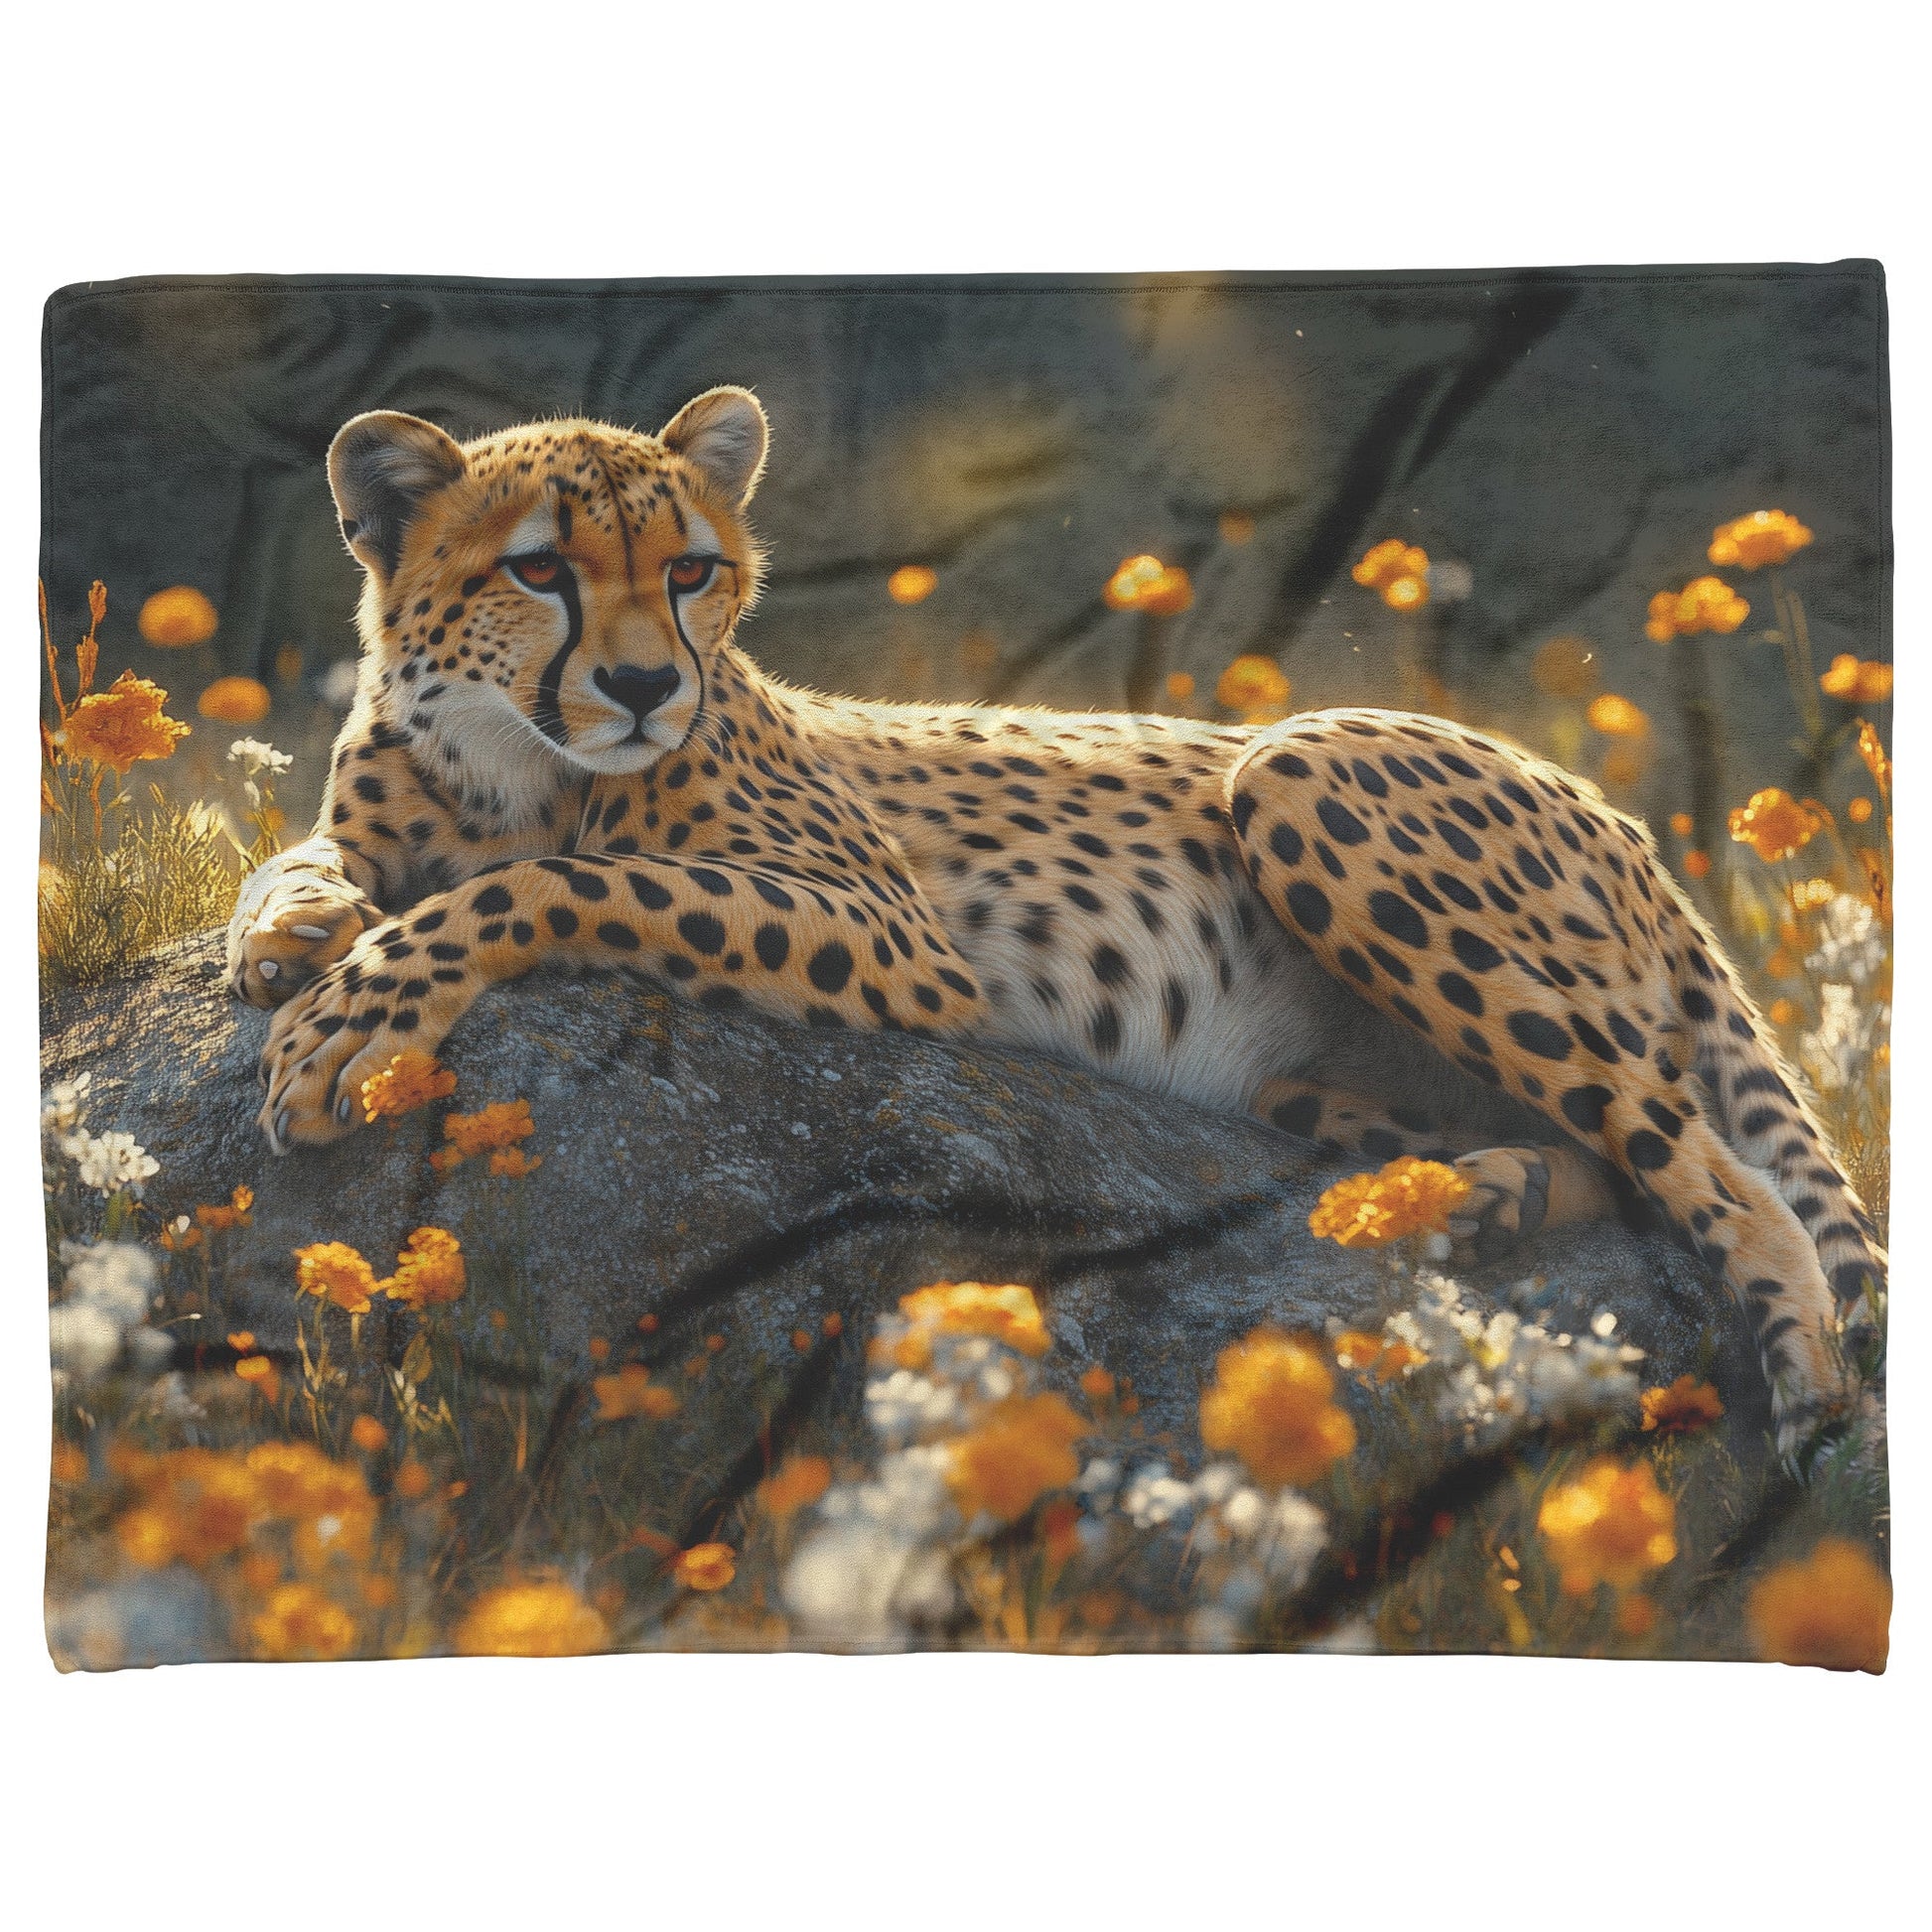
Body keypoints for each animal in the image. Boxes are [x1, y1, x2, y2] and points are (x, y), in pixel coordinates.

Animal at [228, 386, 1884, 1457]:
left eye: (691, 569)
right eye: (537, 568)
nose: (642, 687)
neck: (500, 762)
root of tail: (1620, 811)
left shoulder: (898, 940)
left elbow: (572, 884)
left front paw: (352, 1022)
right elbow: (287, 859)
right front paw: (291, 933)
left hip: (1299, 772)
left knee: (1719, 1163)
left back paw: (1795, 1356)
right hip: (1321, 1061)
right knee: (1604, 1146)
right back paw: (1479, 1195)